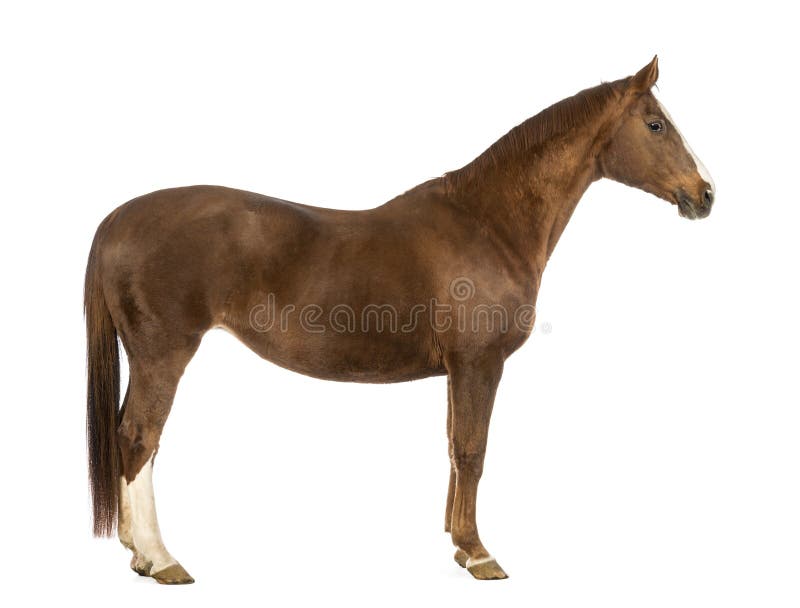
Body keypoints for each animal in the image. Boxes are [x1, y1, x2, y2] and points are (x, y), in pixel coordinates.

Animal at [85, 56, 714, 584]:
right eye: (656, 125)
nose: (705, 194)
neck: (488, 222)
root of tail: (117, 218)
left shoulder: (457, 371)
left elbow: (454, 447)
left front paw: (459, 544)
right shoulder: (479, 364)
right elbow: (473, 450)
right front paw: (479, 554)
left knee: (124, 436)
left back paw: (137, 552)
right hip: (164, 354)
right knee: (140, 437)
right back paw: (162, 560)